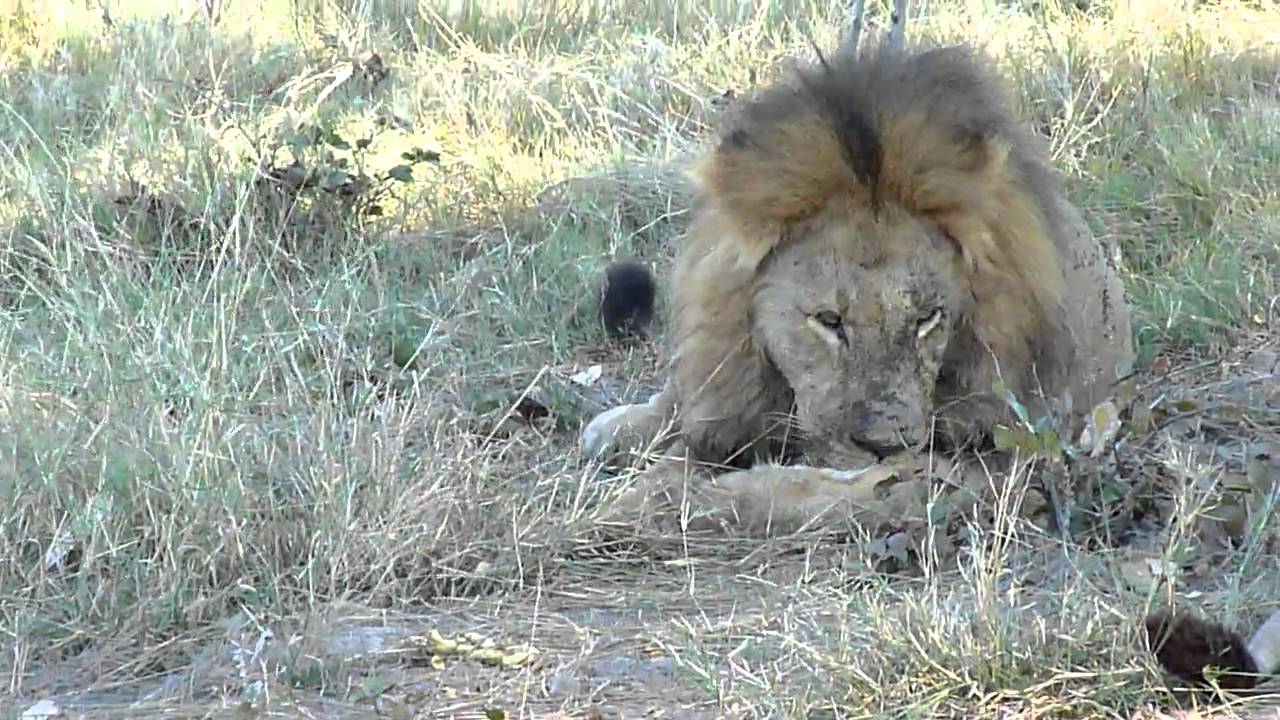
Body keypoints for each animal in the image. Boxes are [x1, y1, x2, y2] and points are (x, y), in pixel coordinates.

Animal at [580, 42, 1135, 536]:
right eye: (828, 321)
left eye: (928, 318)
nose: (885, 443)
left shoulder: (992, 467)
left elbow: (810, 492)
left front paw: (673, 495)